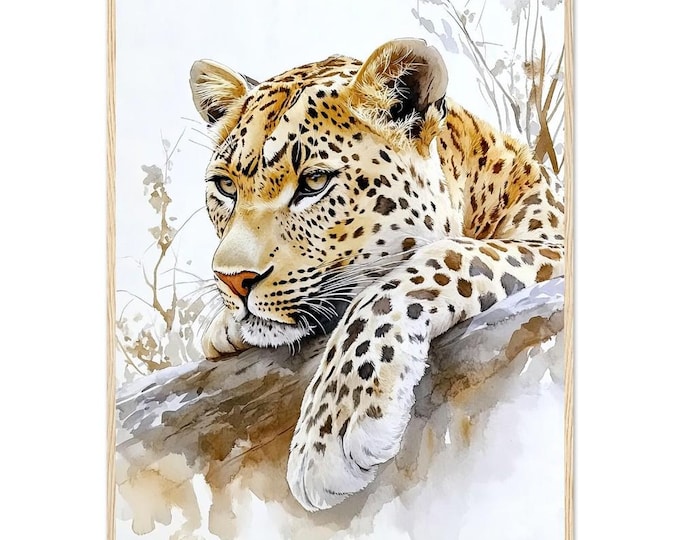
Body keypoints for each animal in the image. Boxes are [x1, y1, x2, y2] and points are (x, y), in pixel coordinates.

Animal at [189, 38, 565, 512]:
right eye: (225, 187)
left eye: (314, 182)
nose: (232, 279)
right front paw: (224, 328)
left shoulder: (554, 245)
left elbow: (438, 259)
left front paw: (332, 427)